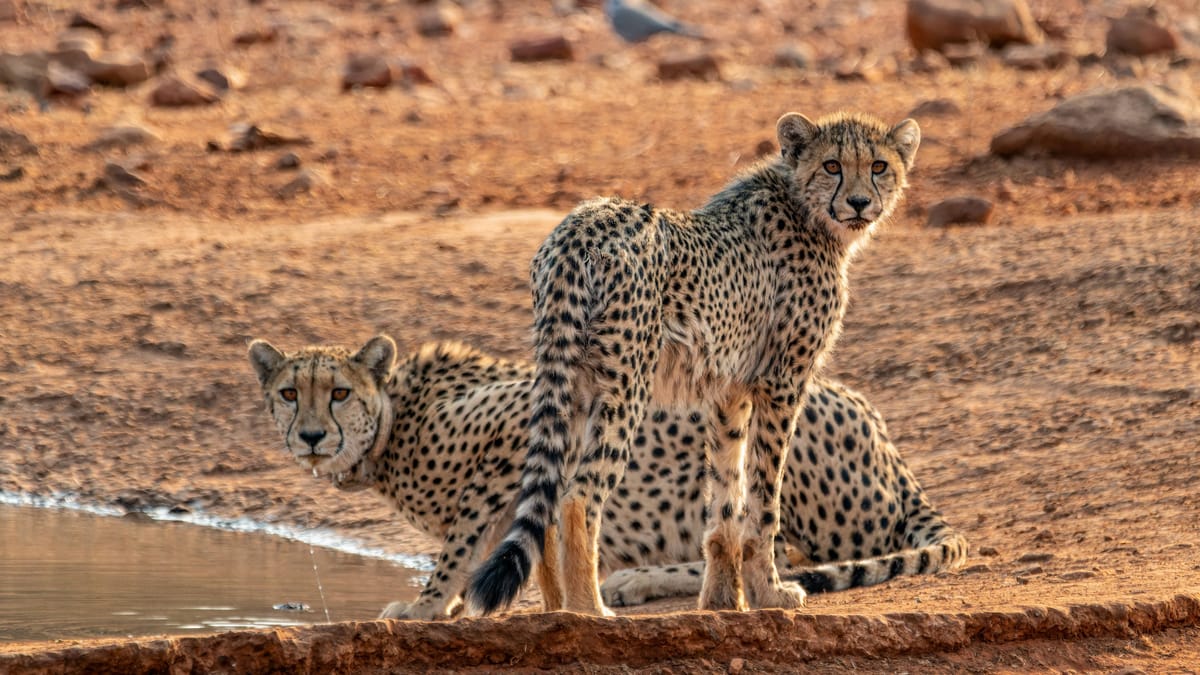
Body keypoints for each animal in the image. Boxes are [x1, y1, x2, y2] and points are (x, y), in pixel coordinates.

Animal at [249, 335, 964, 620]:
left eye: (339, 393)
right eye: (288, 393)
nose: (310, 436)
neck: (398, 420)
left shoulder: (515, 430)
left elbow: (459, 546)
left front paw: (426, 606)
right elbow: (504, 545)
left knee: (776, 547)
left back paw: (635, 580)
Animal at [467, 111, 922, 617]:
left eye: (879, 165)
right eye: (832, 166)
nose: (860, 202)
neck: (807, 210)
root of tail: (581, 222)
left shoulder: (729, 391)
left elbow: (726, 500)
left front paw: (723, 600)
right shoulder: (782, 383)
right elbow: (764, 501)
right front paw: (770, 593)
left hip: (572, 383)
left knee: (547, 498)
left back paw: (556, 610)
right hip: (625, 386)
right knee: (578, 497)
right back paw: (590, 611)